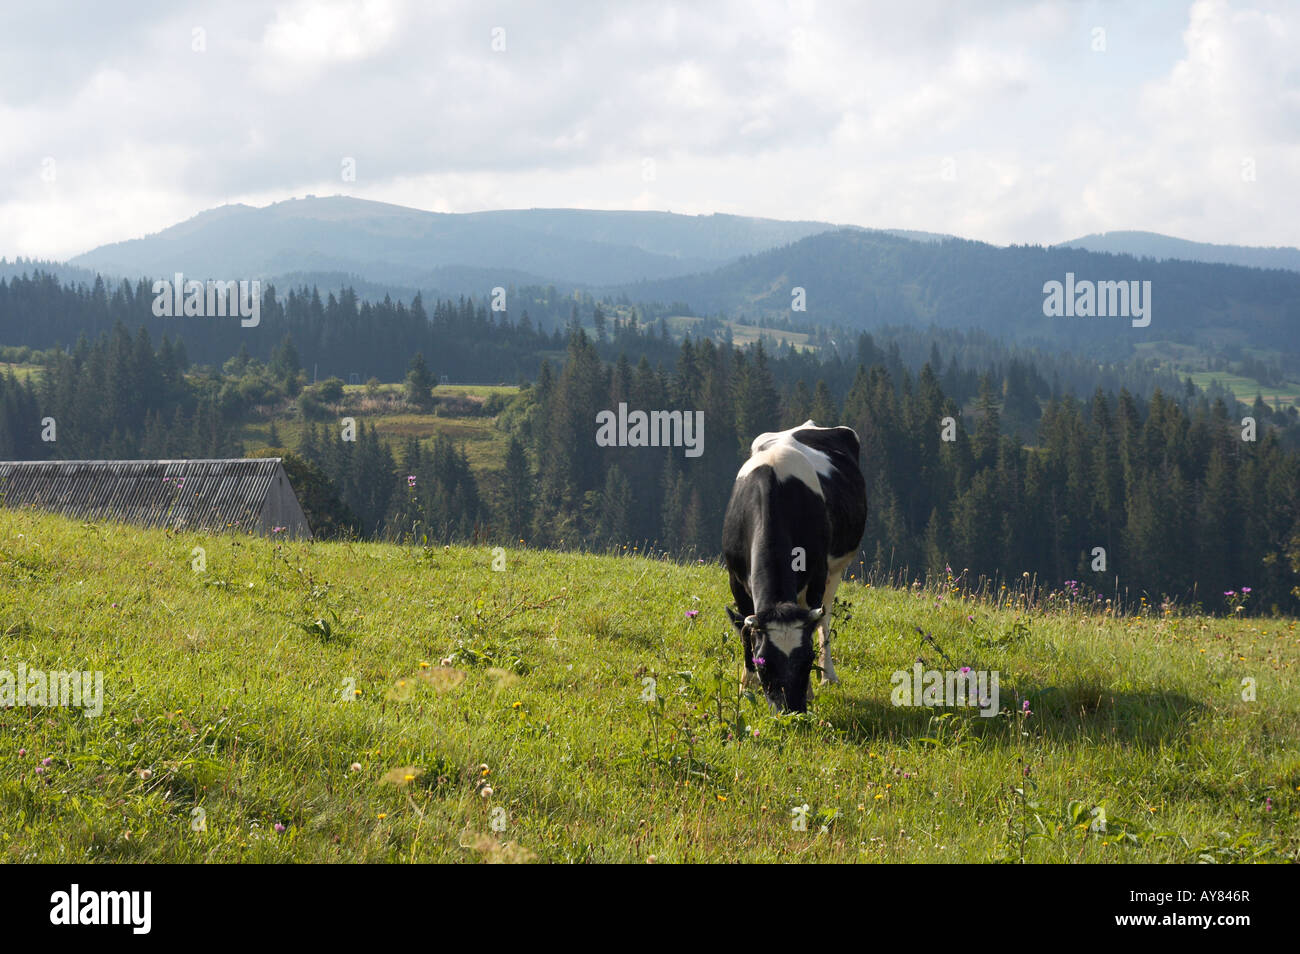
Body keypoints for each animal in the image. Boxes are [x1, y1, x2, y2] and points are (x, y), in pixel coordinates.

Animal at [722, 420, 868, 712]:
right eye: (763, 663)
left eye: (807, 660)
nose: (793, 712)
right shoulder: (735, 578)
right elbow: (744, 630)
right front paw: (746, 687)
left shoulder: (818, 572)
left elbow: (815, 623)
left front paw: (811, 687)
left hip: (836, 570)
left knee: (825, 618)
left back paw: (828, 676)